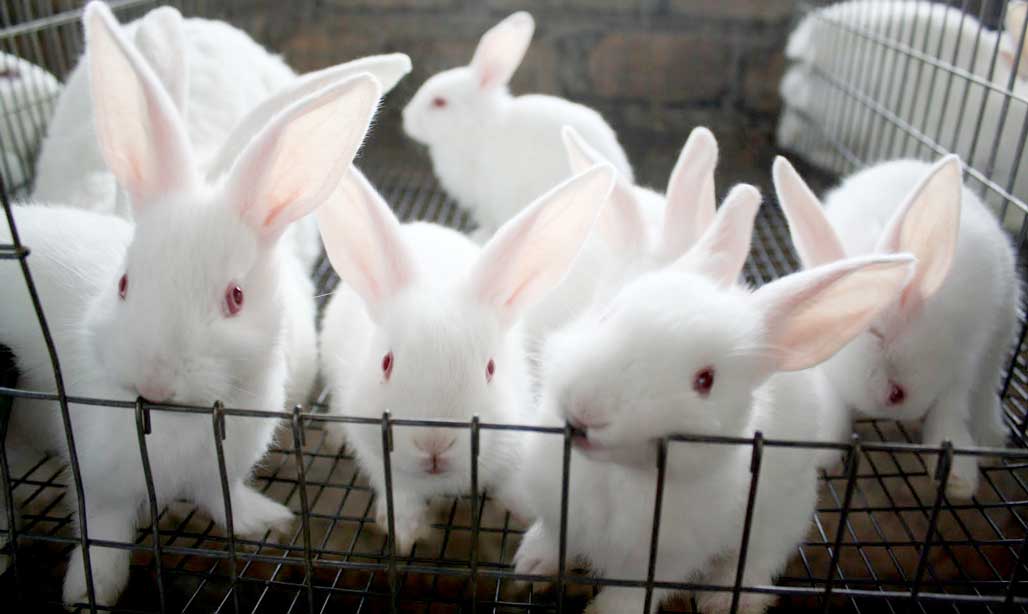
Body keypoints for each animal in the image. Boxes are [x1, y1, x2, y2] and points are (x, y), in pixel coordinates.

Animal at [317, 163, 617, 554]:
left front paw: (528, 515)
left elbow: (514, 485)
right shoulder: (377, 456)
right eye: (386, 363)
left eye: (490, 369)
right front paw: (407, 533)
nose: (433, 445)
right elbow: (400, 494)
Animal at [511, 185, 915, 614]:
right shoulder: (555, 511)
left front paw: (605, 611)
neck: (611, 475)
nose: (587, 409)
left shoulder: (664, 560)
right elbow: (551, 536)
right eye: (607, 315)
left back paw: (723, 601)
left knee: (755, 562)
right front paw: (530, 567)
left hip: (780, 519)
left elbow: (630, 594)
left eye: (705, 380)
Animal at [772, 154, 1021, 500]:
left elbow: (949, 412)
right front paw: (822, 454)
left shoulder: (966, 360)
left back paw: (991, 438)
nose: (890, 412)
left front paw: (958, 479)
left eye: (896, 394)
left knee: (986, 390)